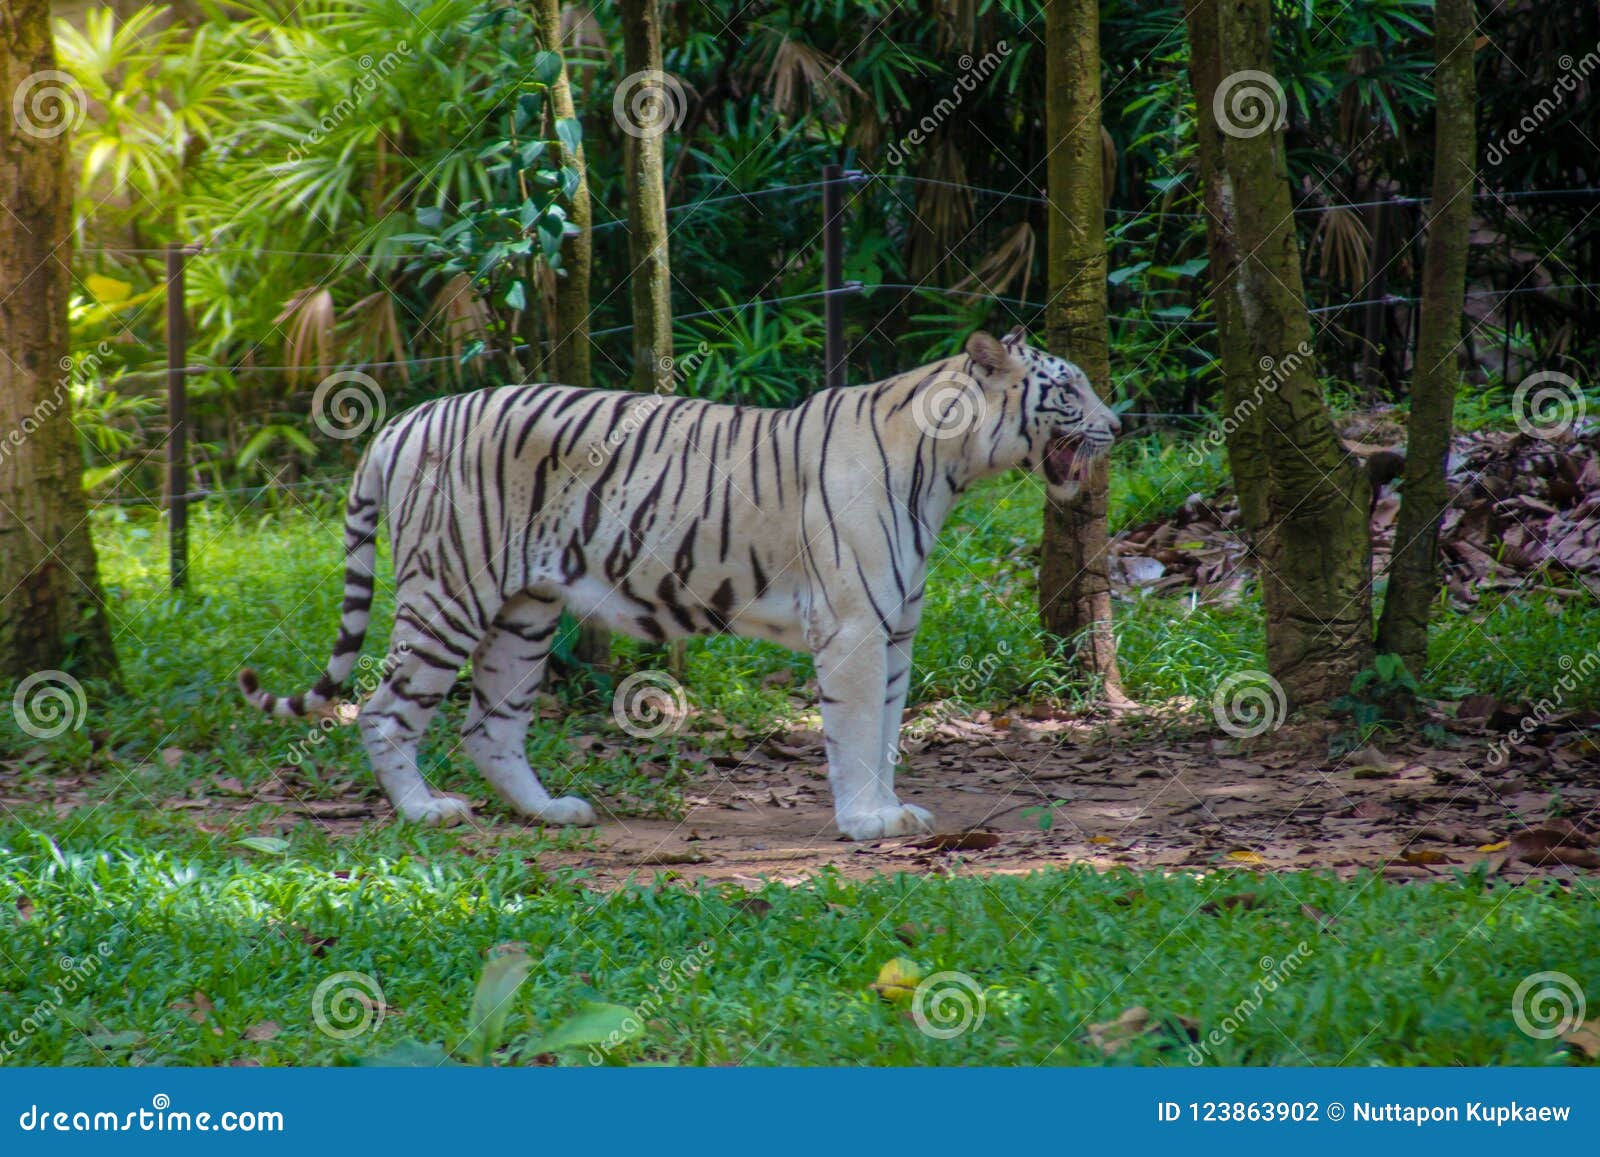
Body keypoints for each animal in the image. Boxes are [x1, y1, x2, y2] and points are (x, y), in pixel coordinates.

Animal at [238, 327, 1120, 840]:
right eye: (1069, 388)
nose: (1119, 423)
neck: (949, 469)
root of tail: (403, 419)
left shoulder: (895, 627)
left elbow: (886, 733)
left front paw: (890, 807)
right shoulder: (855, 628)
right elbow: (855, 731)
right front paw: (866, 821)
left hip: (526, 612)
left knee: (489, 727)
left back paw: (550, 810)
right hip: (447, 596)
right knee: (384, 711)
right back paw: (426, 810)